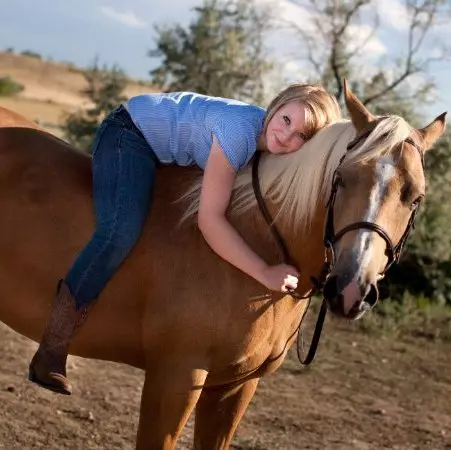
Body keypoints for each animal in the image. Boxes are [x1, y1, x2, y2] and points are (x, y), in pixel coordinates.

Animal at [0, 81, 446, 450]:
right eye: (341, 179)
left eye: (416, 197)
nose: (352, 288)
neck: (254, 248)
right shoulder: (176, 378)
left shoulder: (235, 387)